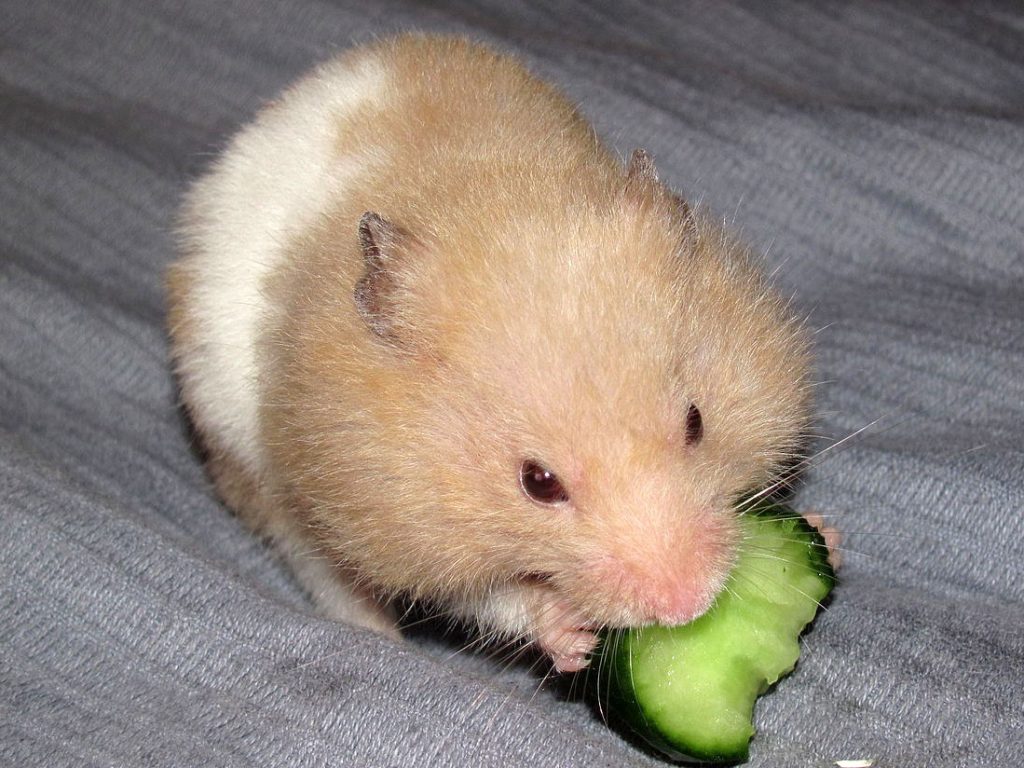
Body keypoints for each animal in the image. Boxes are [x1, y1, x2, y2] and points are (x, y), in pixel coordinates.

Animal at [167, 35, 813, 673]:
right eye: (538, 483)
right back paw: (382, 639)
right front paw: (569, 635)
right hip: (262, 479)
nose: (689, 603)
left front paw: (823, 534)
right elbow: (486, 596)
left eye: (696, 422)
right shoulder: (409, 527)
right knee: (325, 571)